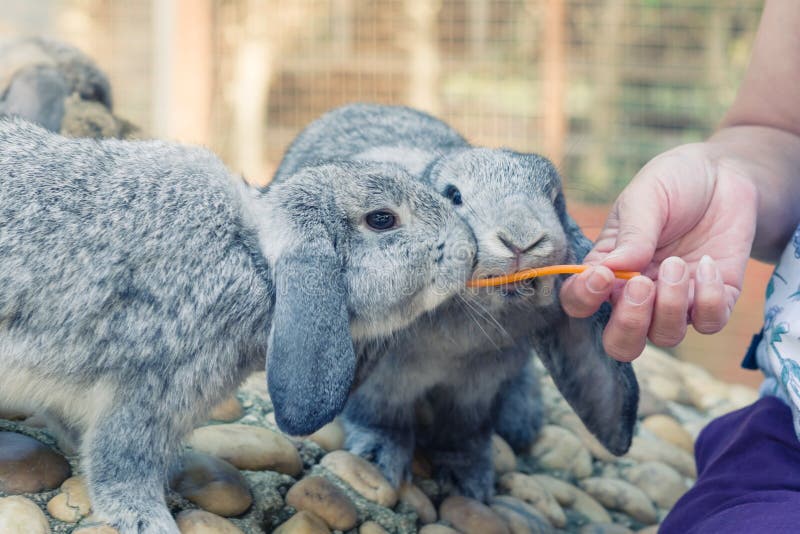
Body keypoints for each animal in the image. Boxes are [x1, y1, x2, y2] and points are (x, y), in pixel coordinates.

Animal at [0, 117, 477, 533]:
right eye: (382, 219)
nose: (470, 249)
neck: (255, 261)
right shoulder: (153, 391)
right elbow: (122, 462)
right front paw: (149, 519)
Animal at [274, 103, 639, 501]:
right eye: (453, 195)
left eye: (556, 200)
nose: (521, 240)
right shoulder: (384, 384)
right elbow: (382, 419)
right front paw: (377, 461)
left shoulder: (477, 388)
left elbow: (465, 433)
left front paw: (470, 484)